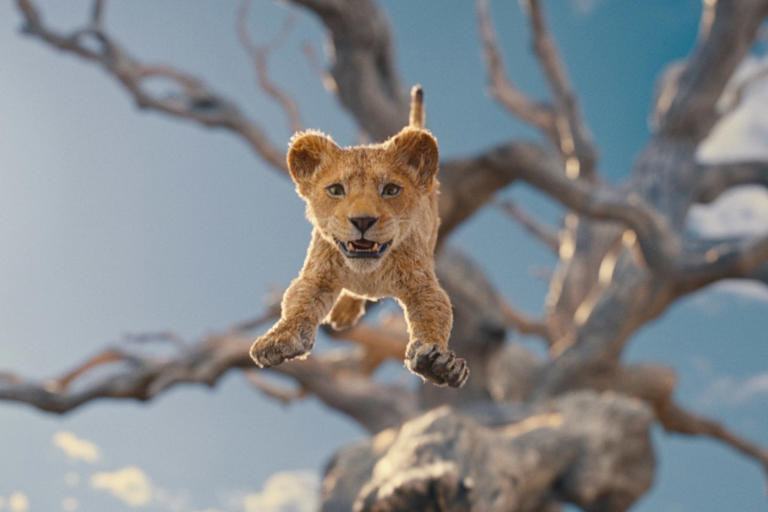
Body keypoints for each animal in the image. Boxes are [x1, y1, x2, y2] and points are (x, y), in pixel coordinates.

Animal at [249, 86, 469, 387]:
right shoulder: (317, 275)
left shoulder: (422, 285)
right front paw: (277, 339)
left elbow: (434, 315)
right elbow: (297, 304)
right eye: (335, 190)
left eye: (390, 190)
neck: (367, 272)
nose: (363, 220)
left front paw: (439, 364)